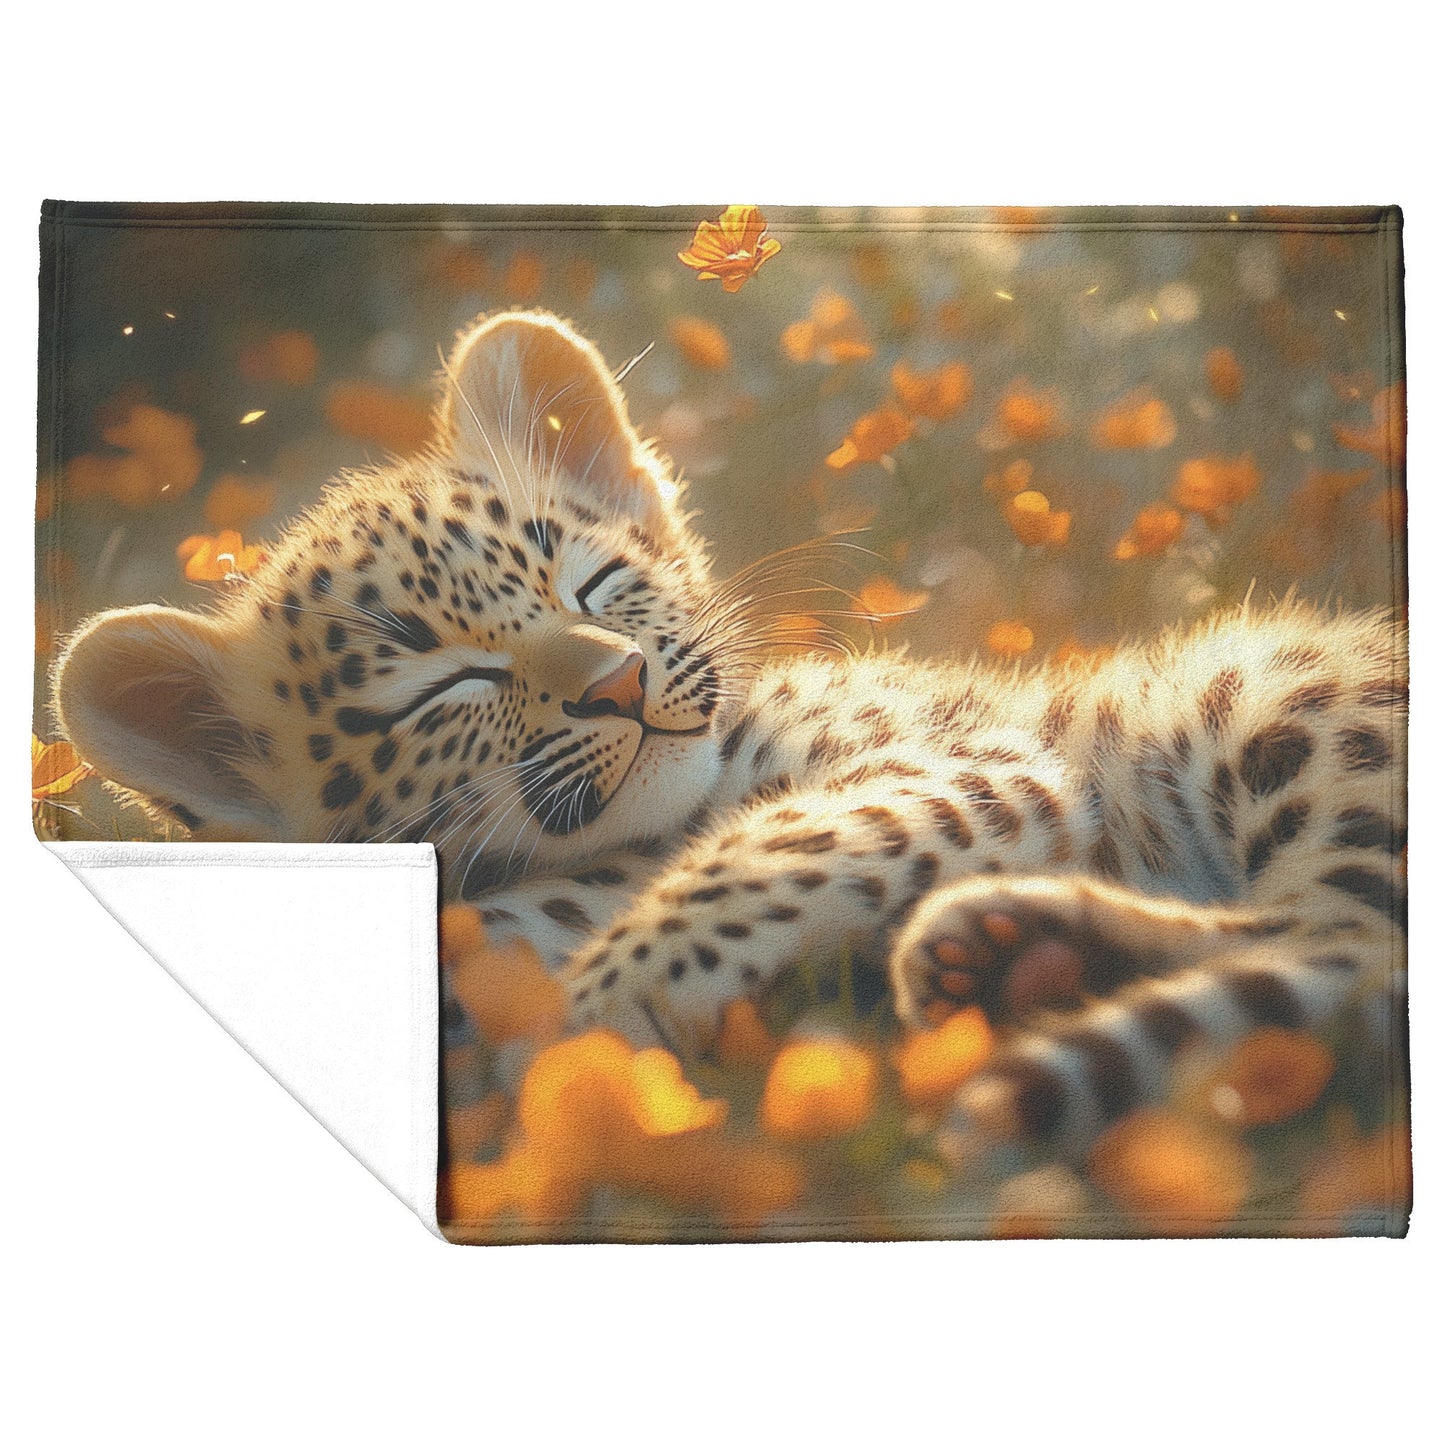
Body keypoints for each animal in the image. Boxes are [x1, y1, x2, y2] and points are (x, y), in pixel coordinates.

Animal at [52, 309, 1407, 1160]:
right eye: (443, 687)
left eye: (594, 584)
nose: (615, 682)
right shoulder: (531, 896)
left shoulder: (970, 754)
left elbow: (769, 849)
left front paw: (606, 1017)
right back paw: (1010, 958)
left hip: (1267, 702)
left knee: (1342, 946)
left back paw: (1011, 958)